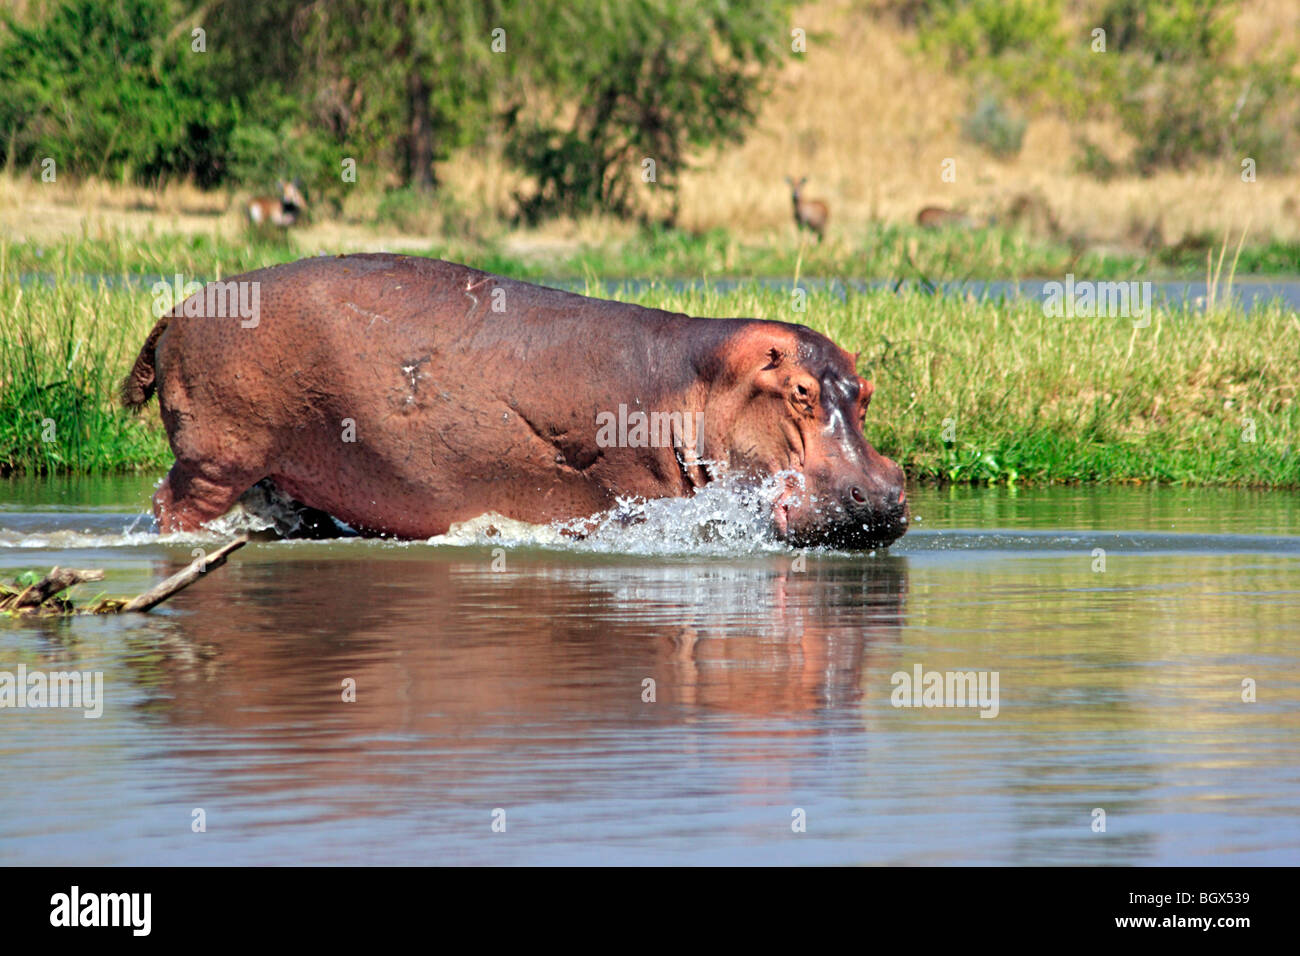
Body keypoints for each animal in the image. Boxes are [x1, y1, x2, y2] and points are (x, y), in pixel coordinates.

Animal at [121, 255, 907, 548]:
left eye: (865, 392)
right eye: (799, 393)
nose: (876, 494)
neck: (699, 377)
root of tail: (174, 311)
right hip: (217, 456)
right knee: (172, 503)